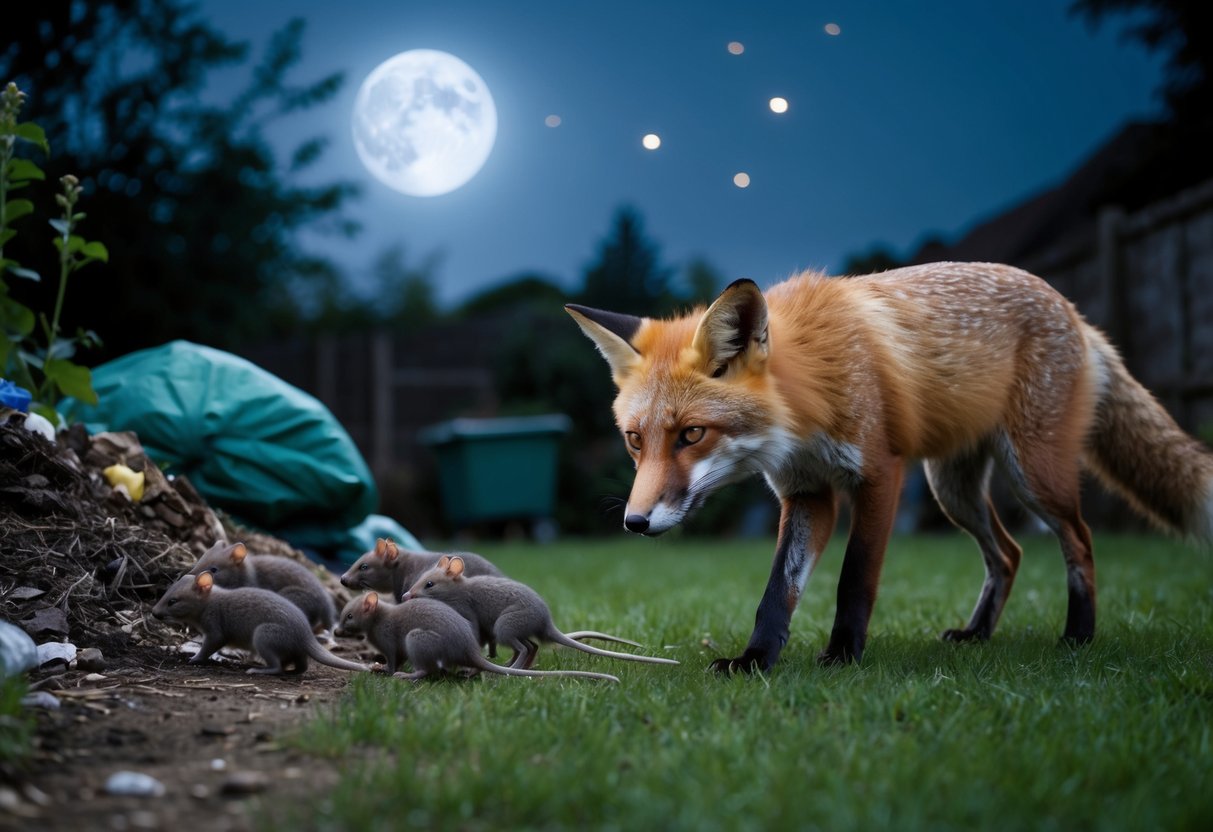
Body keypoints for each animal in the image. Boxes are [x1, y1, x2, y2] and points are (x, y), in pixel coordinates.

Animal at [567, 261, 1213, 673]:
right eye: (634, 440)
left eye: (692, 434)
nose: (634, 523)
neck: (809, 400)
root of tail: (1075, 312)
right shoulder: (808, 493)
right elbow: (779, 589)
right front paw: (755, 660)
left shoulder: (880, 474)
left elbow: (855, 577)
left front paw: (843, 657)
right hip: (953, 489)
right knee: (1008, 553)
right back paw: (977, 635)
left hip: (1032, 475)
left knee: (1079, 538)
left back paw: (1078, 635)